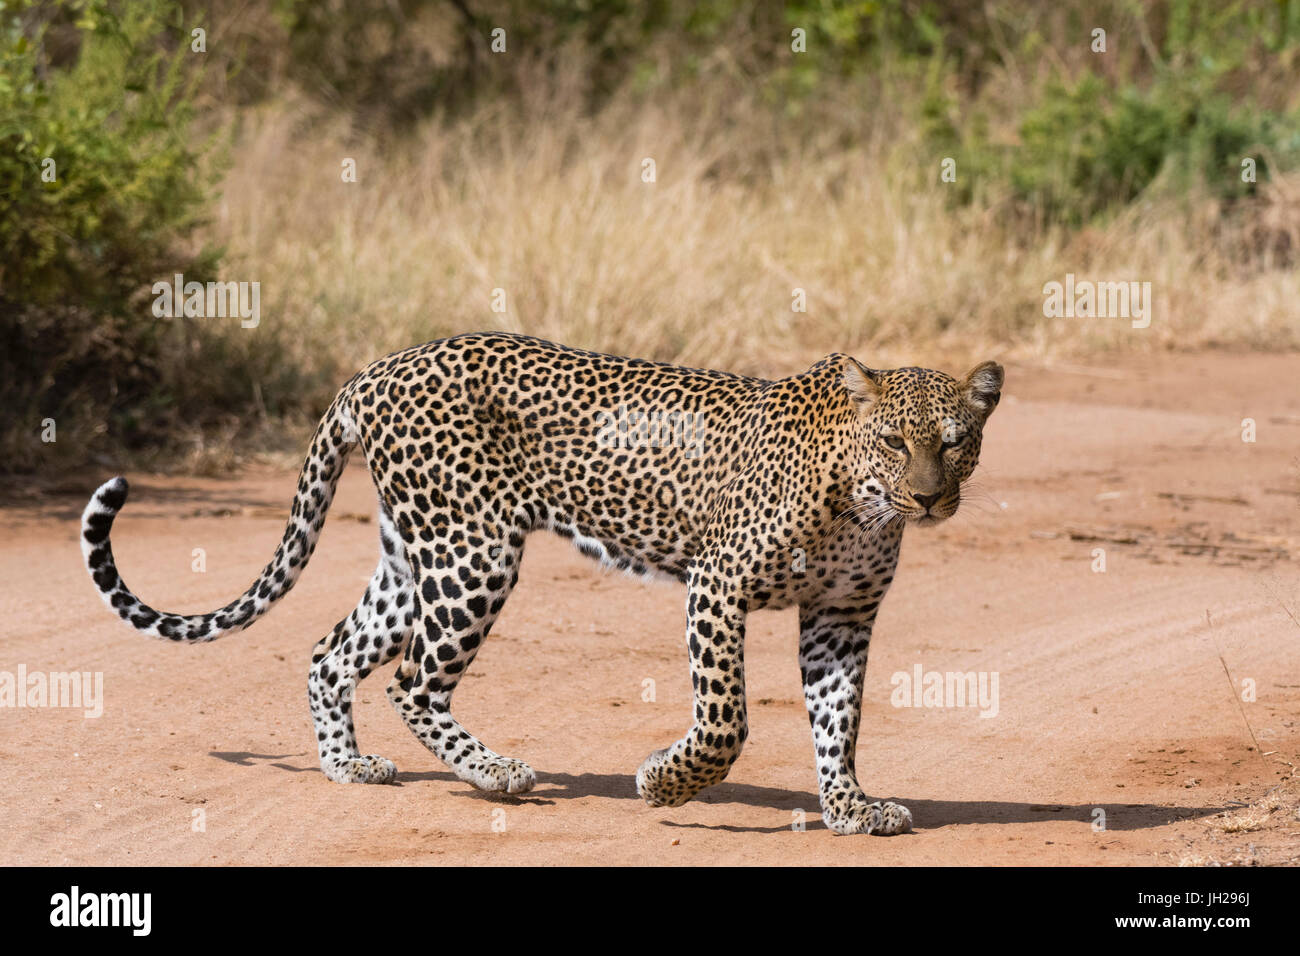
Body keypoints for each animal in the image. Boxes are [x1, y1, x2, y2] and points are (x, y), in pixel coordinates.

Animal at [80, 332, 1002, 836]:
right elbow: (726, 722)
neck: (862, 503)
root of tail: (375, 370)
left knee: (330, 651)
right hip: (474, 552)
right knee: (413, 680)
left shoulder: (840, 616)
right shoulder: (719, 586)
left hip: (415, 556)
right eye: (895, 441)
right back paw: (496, 775)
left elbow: (838, 723)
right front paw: (663, 782)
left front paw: (850, 809)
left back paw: (349, 767)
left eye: (956, 442)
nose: (930, 496)